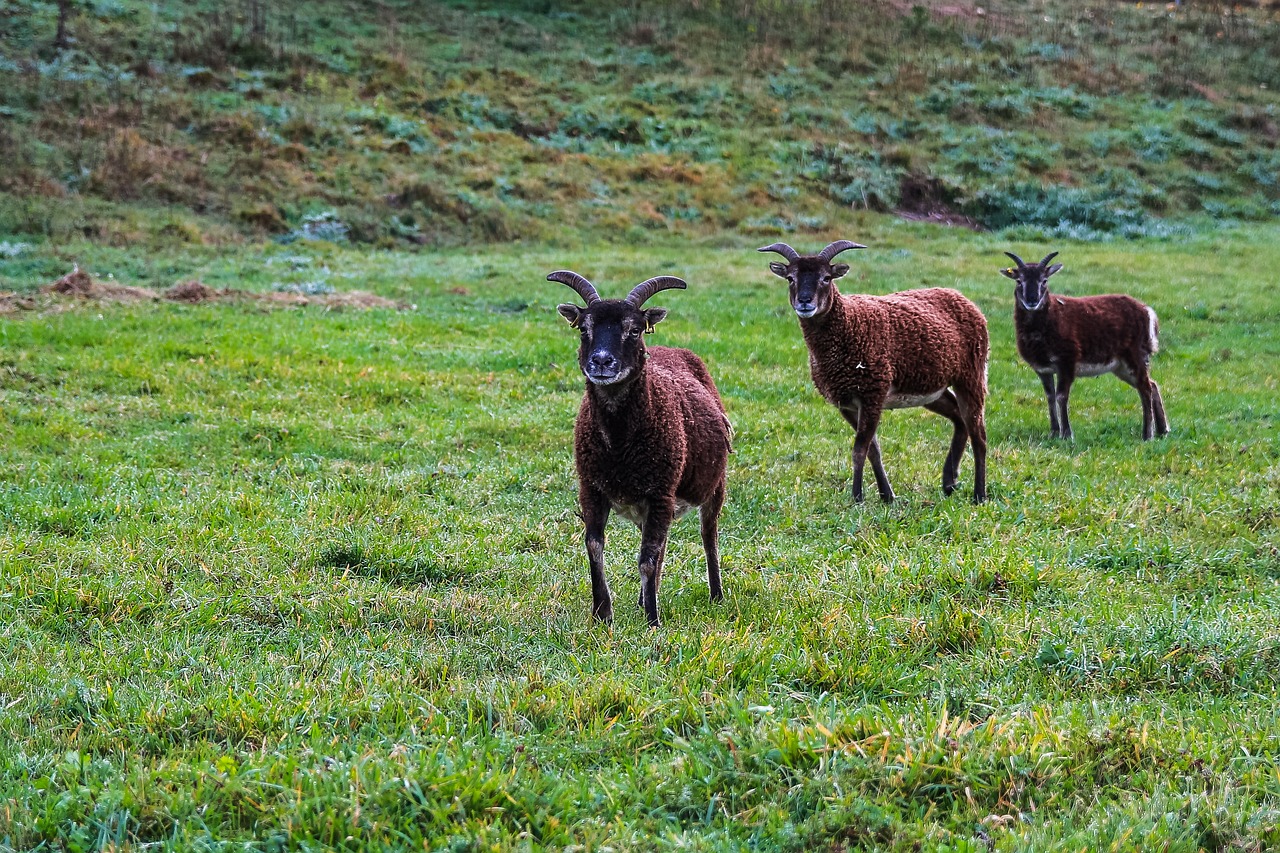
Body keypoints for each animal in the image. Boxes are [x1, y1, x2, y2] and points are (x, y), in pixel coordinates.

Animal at [549, 269, 732, 628]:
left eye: (634, 330)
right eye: (583, 328)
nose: (601, 362)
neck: (619, 444)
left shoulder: (661, 491)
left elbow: (647, 558)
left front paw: (652, 621)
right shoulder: (591, 488)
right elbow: (595, 546)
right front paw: (602, 613)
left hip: (712, 485)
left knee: (708, 537)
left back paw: (715, 595)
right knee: (661, 545)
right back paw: (644, 598)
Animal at [758, 240, 990, 504]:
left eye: (826, 277)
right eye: (790, 278)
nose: (805, 302)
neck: (848, 325)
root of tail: (965, 300)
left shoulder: (872, 393)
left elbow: (859, 449)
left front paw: (857, 497)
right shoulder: (846, 403)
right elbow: (872, 449)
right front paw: (886, 495)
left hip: (971, 375)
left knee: (979, 435)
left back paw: (979, 494)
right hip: (931, 388)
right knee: (959, 419)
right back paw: (949, 482)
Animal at [1001, 251, 1169, 441]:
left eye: (1044, 280)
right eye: (1018, 280)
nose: (1032, 300)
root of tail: (1149, 313)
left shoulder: (1067, 360)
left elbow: (1061, 396)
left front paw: (1067, 434)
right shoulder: (1042, 368)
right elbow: (1050, 396)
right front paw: (1053, 432)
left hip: (1135, 354)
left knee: (1145, 388)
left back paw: (1147, 435)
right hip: (1121, 366)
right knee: (1152, 384)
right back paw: (1163, 430)